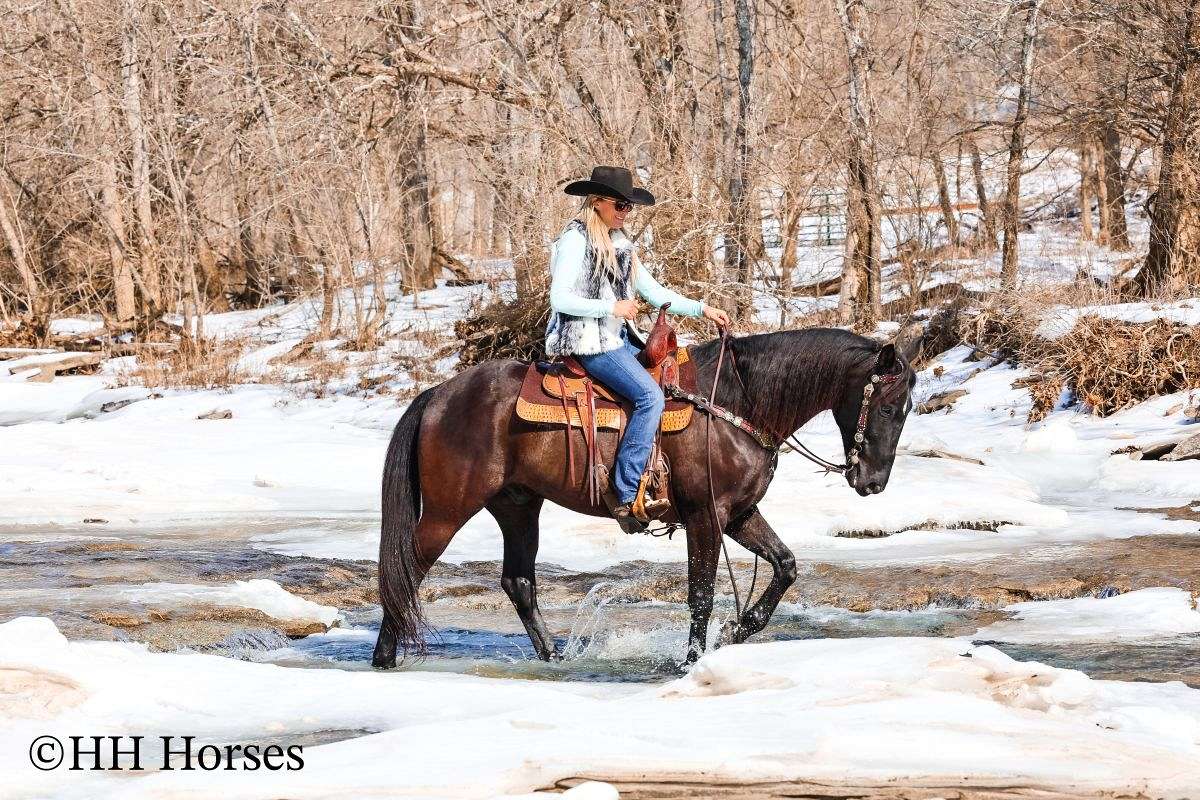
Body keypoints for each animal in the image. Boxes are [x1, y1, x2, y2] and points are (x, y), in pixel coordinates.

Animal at [372, 327, 917, 667]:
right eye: (889, 407)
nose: (872, 481)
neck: (736, 403)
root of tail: (438, 394)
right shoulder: (706, 516)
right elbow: (701, 594)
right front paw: (692, 659)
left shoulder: (740, 514)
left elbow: (785, 566)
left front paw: (739, 629)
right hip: (448, 510)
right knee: (404, 571)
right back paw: (384, 658)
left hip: (519, 506)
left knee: (519, 583)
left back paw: (554, 657)